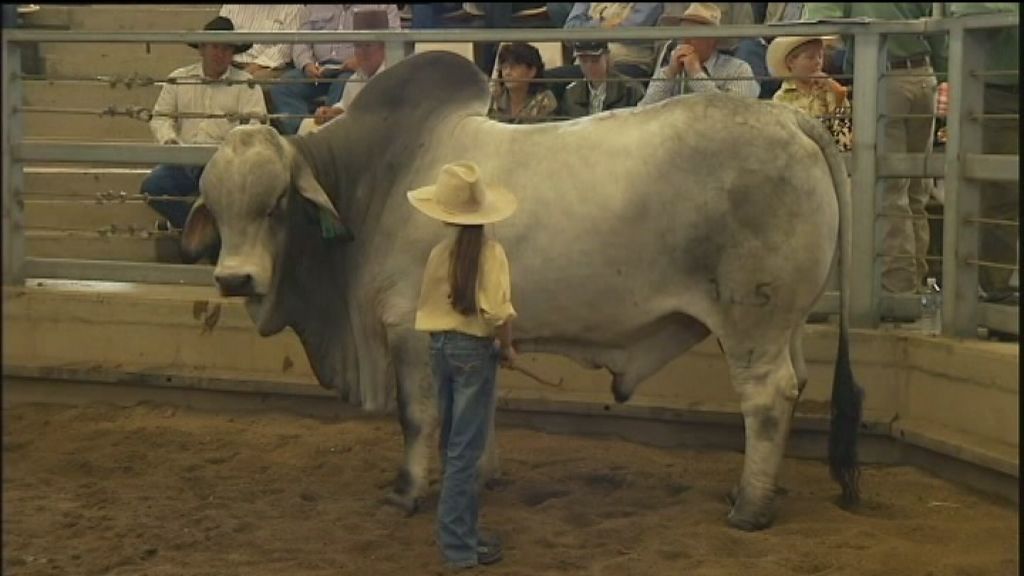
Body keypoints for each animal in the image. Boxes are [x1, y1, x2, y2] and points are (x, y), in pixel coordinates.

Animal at [181, 51, 863, 531]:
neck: (375, 179)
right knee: (796, 385)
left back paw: (749, 508)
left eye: (275, 204)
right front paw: (480, 475)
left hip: (752, 319)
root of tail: (791, 119)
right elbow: (473, 411)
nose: (234, 278)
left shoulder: (406, 329)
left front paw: (406, 492)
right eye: (216, 206)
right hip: (785, 322)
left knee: (767, 397)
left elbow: (418, 416)